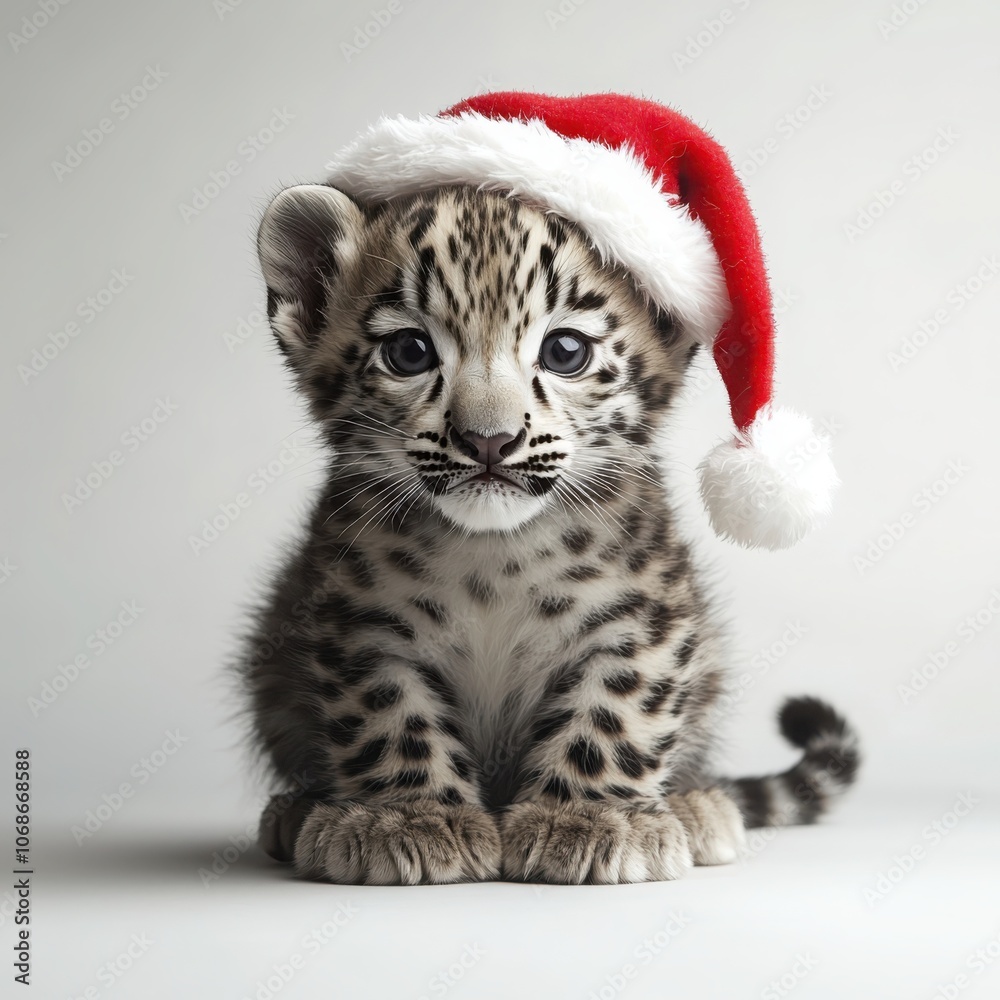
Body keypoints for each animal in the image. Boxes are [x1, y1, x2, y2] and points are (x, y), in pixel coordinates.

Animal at [236, 181, 859, 885]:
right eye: (409, 352)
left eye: (566, 351)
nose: (489, 439)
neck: (491, 556)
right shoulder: (363, 621)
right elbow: (390, 715)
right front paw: (408, 818)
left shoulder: (641, 617)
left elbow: (615, 709)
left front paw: (588, 819)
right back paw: (294, 812)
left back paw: (699, 807)